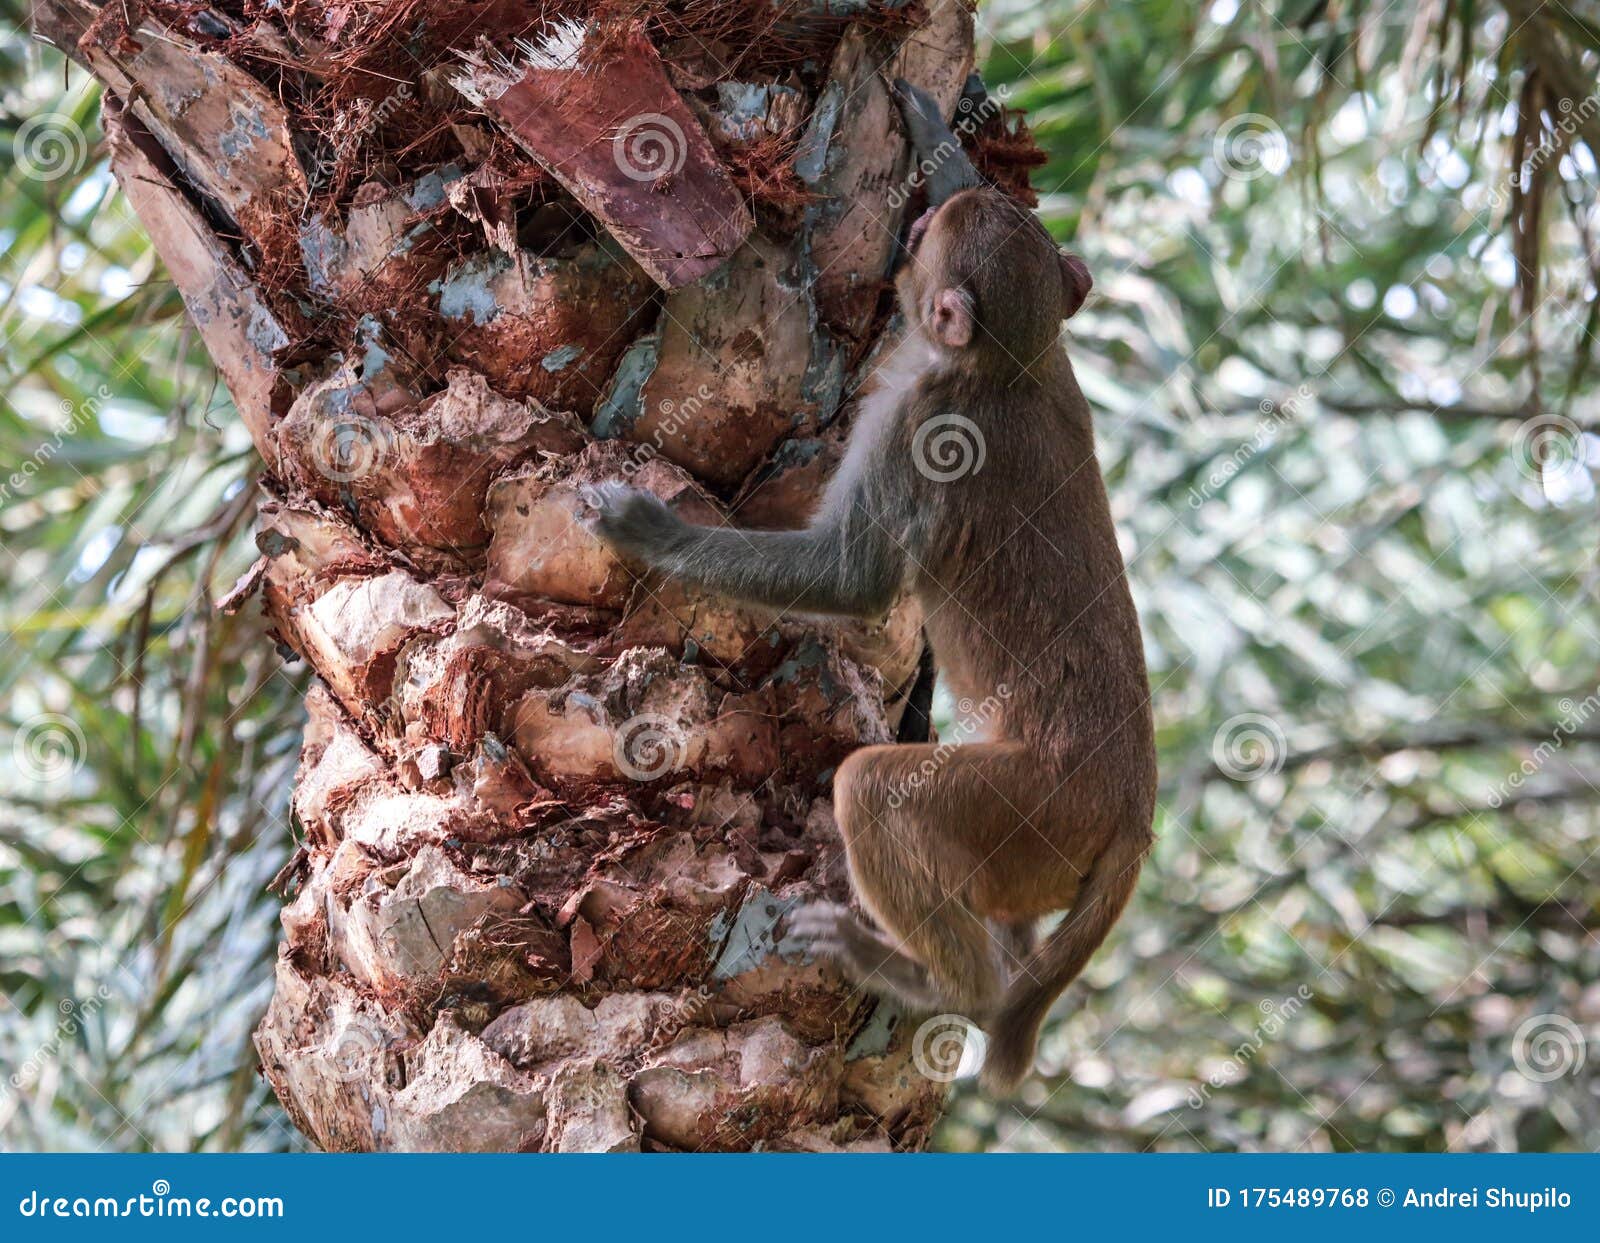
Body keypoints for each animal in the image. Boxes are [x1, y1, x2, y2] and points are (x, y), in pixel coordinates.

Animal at [587, 79, 1156, 1093]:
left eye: (922, 238)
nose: (911, 228)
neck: (1003, 365)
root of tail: (1133, 814)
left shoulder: (919, 426)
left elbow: (855, 579)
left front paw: (656, 532)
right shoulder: (1053, 360)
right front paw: (945, 142)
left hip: (1032, 809)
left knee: (876, 792)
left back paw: (938, 981)